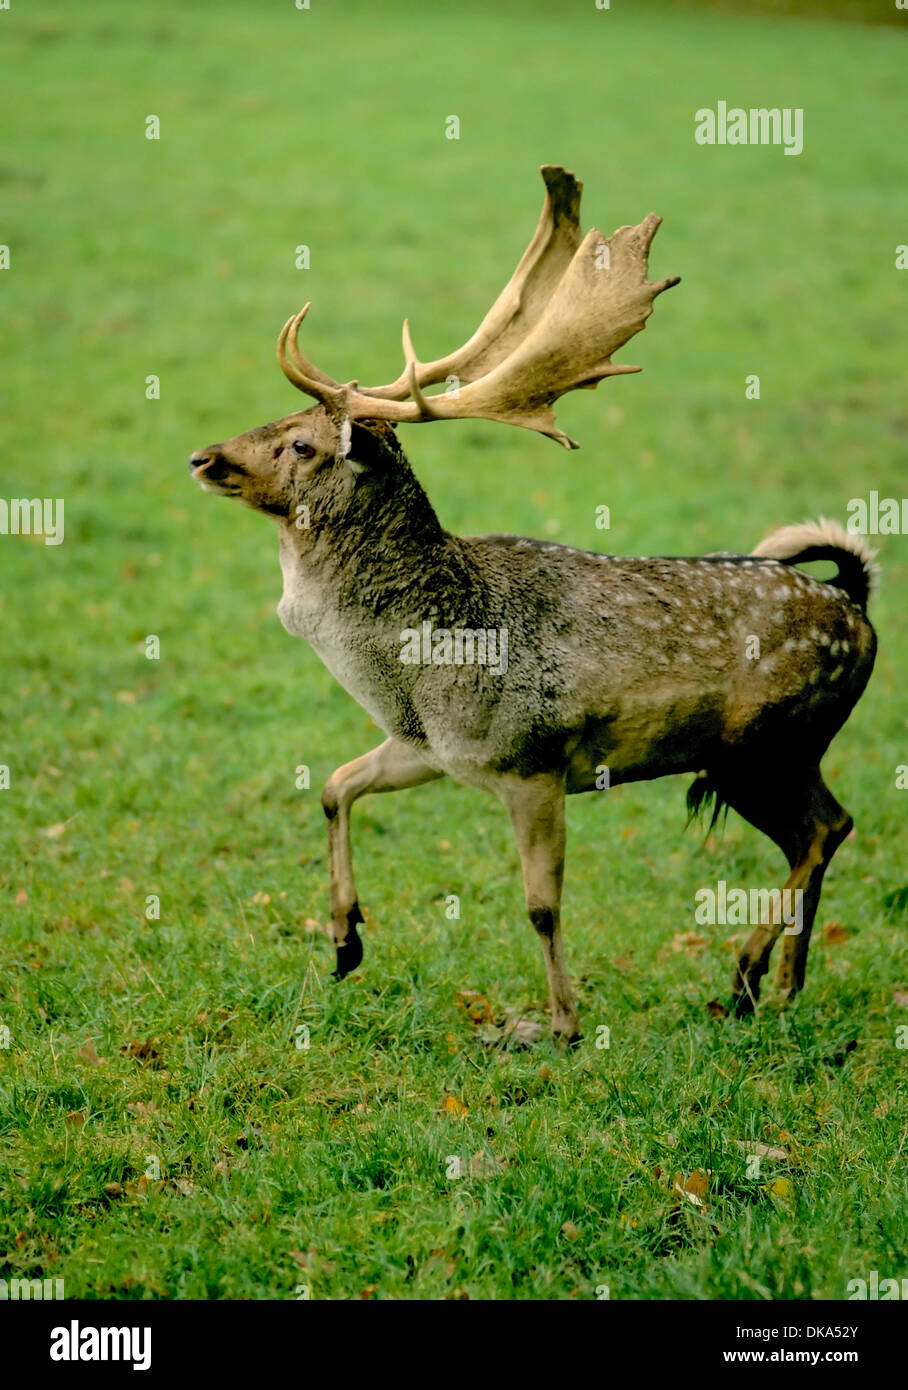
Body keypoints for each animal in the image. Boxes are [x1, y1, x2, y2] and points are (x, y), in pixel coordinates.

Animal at [190, 165, 877, 1041]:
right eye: (280, 417)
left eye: (302, 445)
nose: (203, 457)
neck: (415, 672)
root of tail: (857, 604)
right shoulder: (432, 750)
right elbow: (335, 785)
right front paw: (345, 943)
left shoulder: (534, 762)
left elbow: (541, 905)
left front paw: (559, 1024)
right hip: (775, 753)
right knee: (823, 829)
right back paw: (784, 984)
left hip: (765, 744)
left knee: (823, 828)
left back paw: (747, 973)